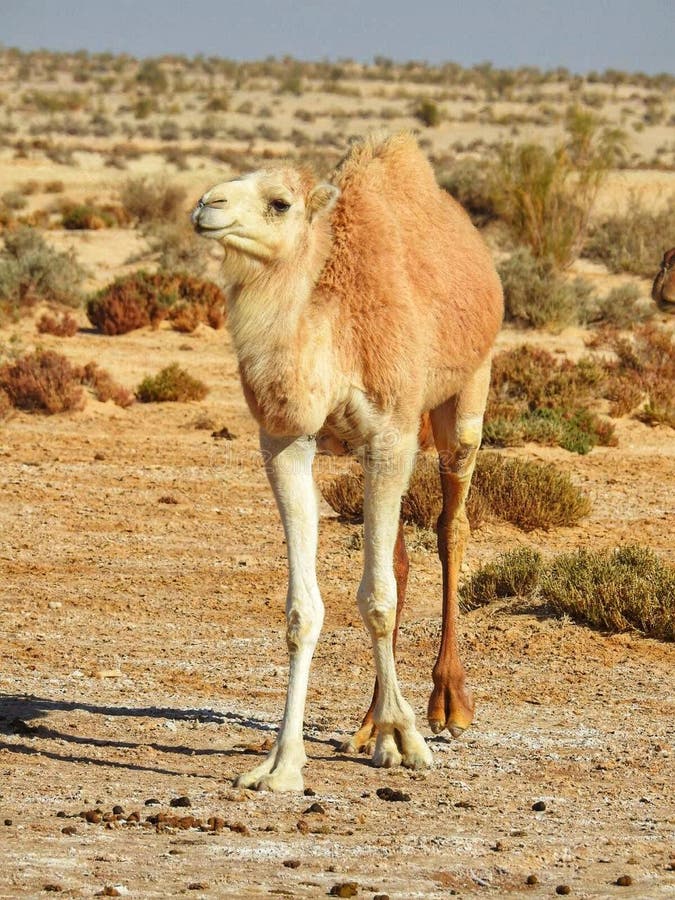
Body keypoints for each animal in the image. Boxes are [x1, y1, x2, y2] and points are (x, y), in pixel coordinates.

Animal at [192, 133, 503, 791]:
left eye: (280, 202)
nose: (207, 204)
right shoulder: (285, 440)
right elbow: (304, 610)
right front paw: (282, 765)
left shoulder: (390, 432)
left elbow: (377, 600)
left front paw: (407, 741)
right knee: (400, 557)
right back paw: (367, 725)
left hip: (466, 391)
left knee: (452, 526)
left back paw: (446, 707)